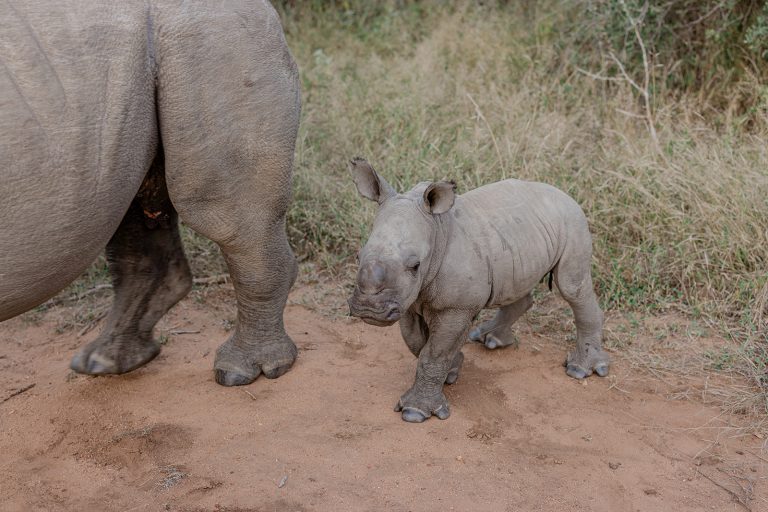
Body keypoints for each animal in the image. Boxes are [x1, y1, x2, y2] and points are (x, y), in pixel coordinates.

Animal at [1, 0, 301, 386]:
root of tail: (266, 7)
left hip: (213, 42)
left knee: (228, 219)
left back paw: (243, 373)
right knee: (128, 201)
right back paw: (106, 361)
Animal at [347, 158, 610, 423]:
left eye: (415, 265)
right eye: (358, 256)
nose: (369, 310)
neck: (436, 230)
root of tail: (565, 194)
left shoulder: (455, 305)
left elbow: (434, 352)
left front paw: (415, 412)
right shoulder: (407, 299)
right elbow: (417, 343)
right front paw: (452, 369)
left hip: (573, 223)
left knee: (571, 287)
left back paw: (579, 370)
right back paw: (489, 339)